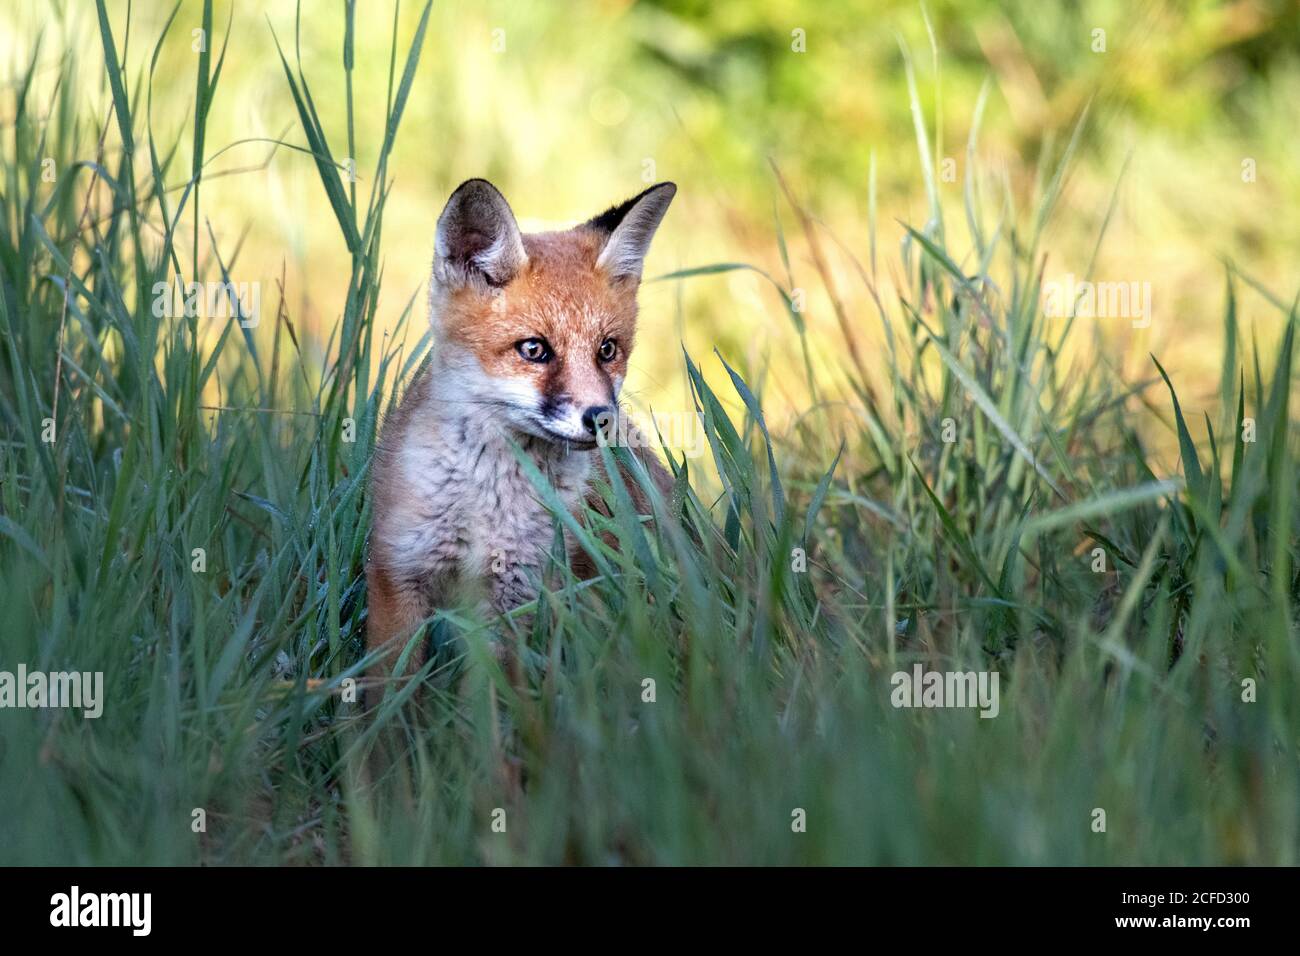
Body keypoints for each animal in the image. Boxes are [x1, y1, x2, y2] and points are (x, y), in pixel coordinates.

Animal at [364, 178, 677, 703]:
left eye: (607, 350)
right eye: (534, 349)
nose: (600, 418)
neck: (487, 504)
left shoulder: (515, 596)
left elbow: (492, 709)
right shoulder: (397, 575)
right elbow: (386, 701)